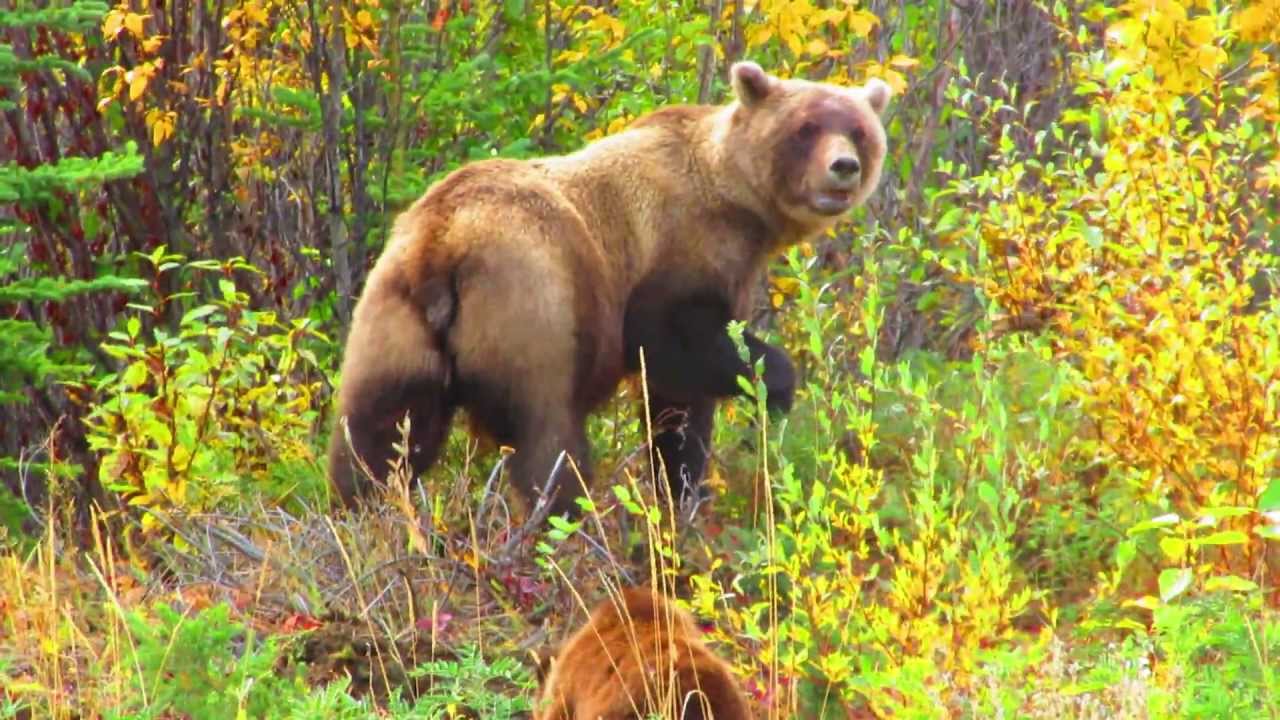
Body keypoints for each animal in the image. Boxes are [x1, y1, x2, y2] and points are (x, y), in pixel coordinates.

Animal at [327, 60, 892, 516]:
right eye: (806, 127)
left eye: (859, 130)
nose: (843, 167)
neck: (739, 201)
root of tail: (443, 240)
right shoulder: (681, 247)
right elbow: (674, 352)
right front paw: (762, 400)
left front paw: (682, 488)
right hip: (533, 301)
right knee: (547, 438)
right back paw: (561, 521)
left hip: (391, 320)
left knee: (380, 432)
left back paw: (360, 511)